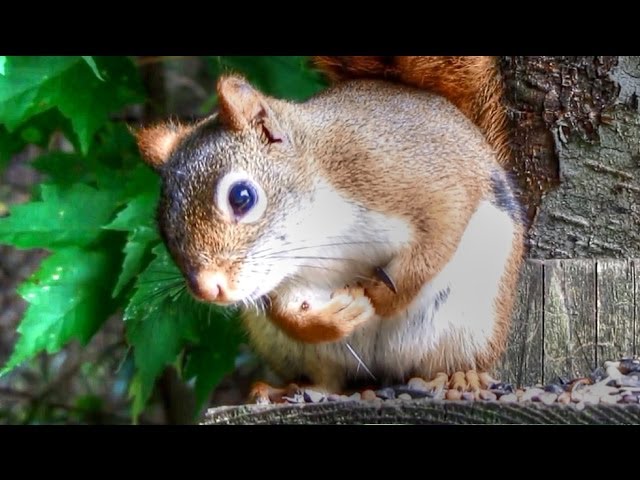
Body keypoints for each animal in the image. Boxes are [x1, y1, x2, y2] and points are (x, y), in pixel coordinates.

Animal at [135, 56, 526, 402]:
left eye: (241, 197)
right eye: (160, 223)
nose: (207, 288)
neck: (316, 229)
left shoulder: (422, 184)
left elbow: (438, 237)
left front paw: (380, 296)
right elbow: (287, 313)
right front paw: (333, 316)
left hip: (472, 322)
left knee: (450, 360)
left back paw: (460, 377)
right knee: (330, 379)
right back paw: (290, 390)